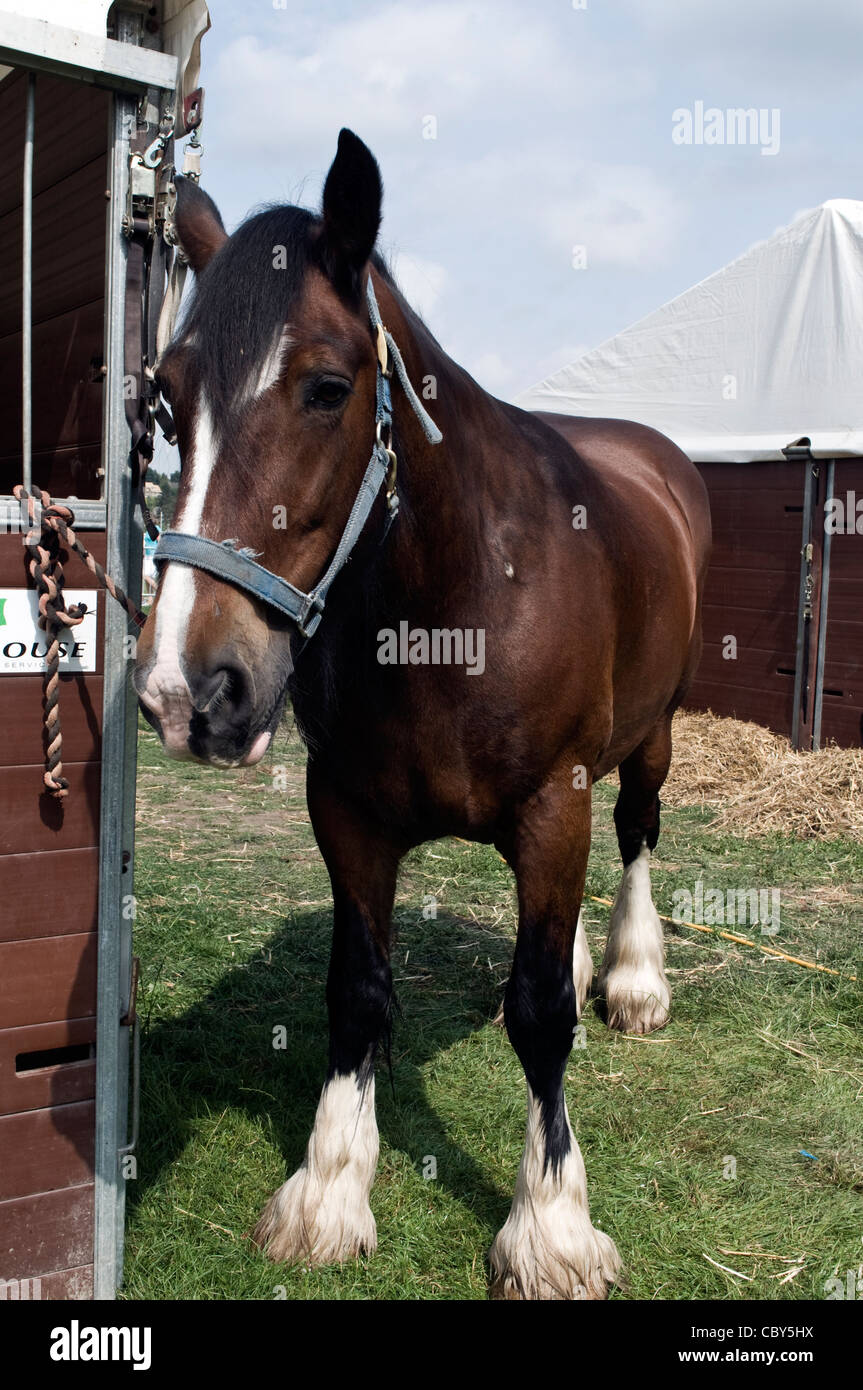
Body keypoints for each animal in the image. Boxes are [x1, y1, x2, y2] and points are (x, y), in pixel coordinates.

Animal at [134, 128, 711, 1300]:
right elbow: (359, 992)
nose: (187, 691)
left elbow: (540, 1019)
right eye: (166, 401)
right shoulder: (347, 811)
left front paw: (551, 1226)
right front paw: (327, 1192)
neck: (457, 599)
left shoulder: (549, 803)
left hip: (648, 738)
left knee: (634, 834)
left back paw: (631, 979)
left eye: (326, 386)